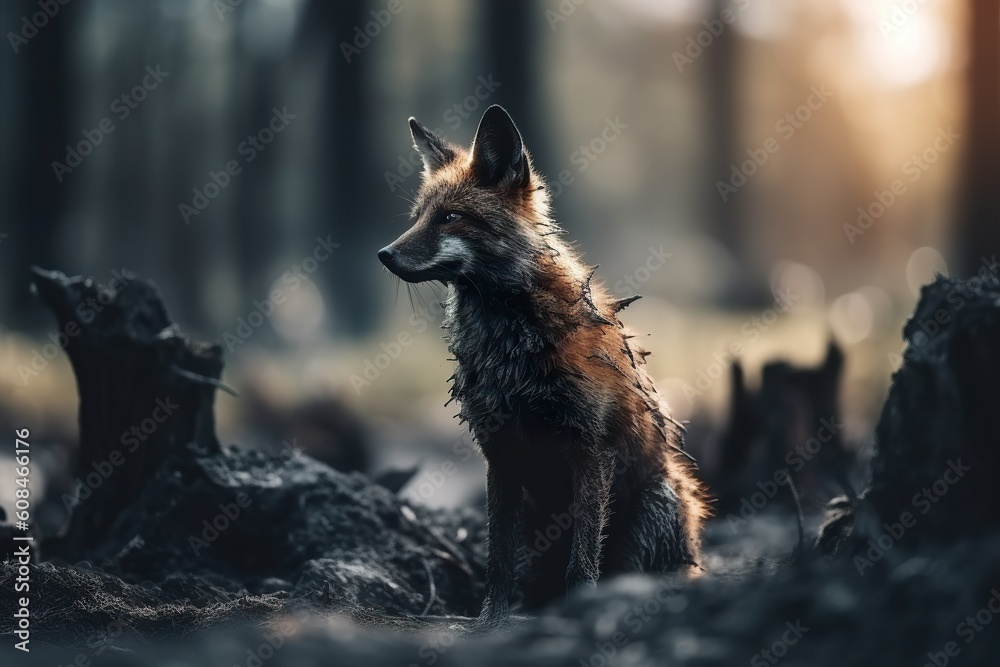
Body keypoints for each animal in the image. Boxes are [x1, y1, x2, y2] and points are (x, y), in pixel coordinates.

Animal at [378, 105, 709, 625]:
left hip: (662, 500)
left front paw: (582, 613)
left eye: (451, 217)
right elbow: (497, 562)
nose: (384, 254)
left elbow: (582, 562)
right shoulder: (500, 452)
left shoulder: (590, 447)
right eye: (418, 218)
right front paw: (490, 623)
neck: (512, 353)